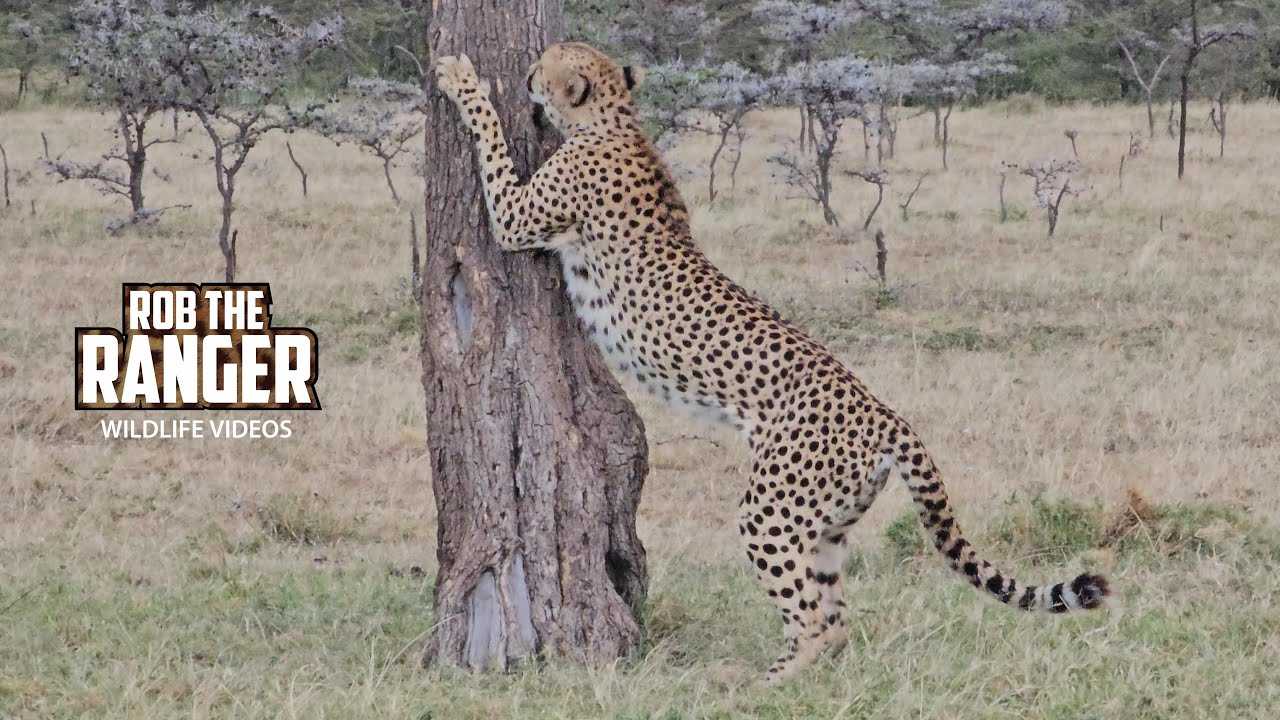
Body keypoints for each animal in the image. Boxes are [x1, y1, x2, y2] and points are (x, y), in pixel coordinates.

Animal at [434, 43, 1110, 683]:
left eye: (543, 63)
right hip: (827, 524)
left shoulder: (518, 217)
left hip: (769, 510)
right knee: (836, 619)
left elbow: (493, 145)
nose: (525, 75)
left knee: (810, 620)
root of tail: (886, 413)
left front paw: (461, 78)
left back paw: (759, 683)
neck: (617, 118)